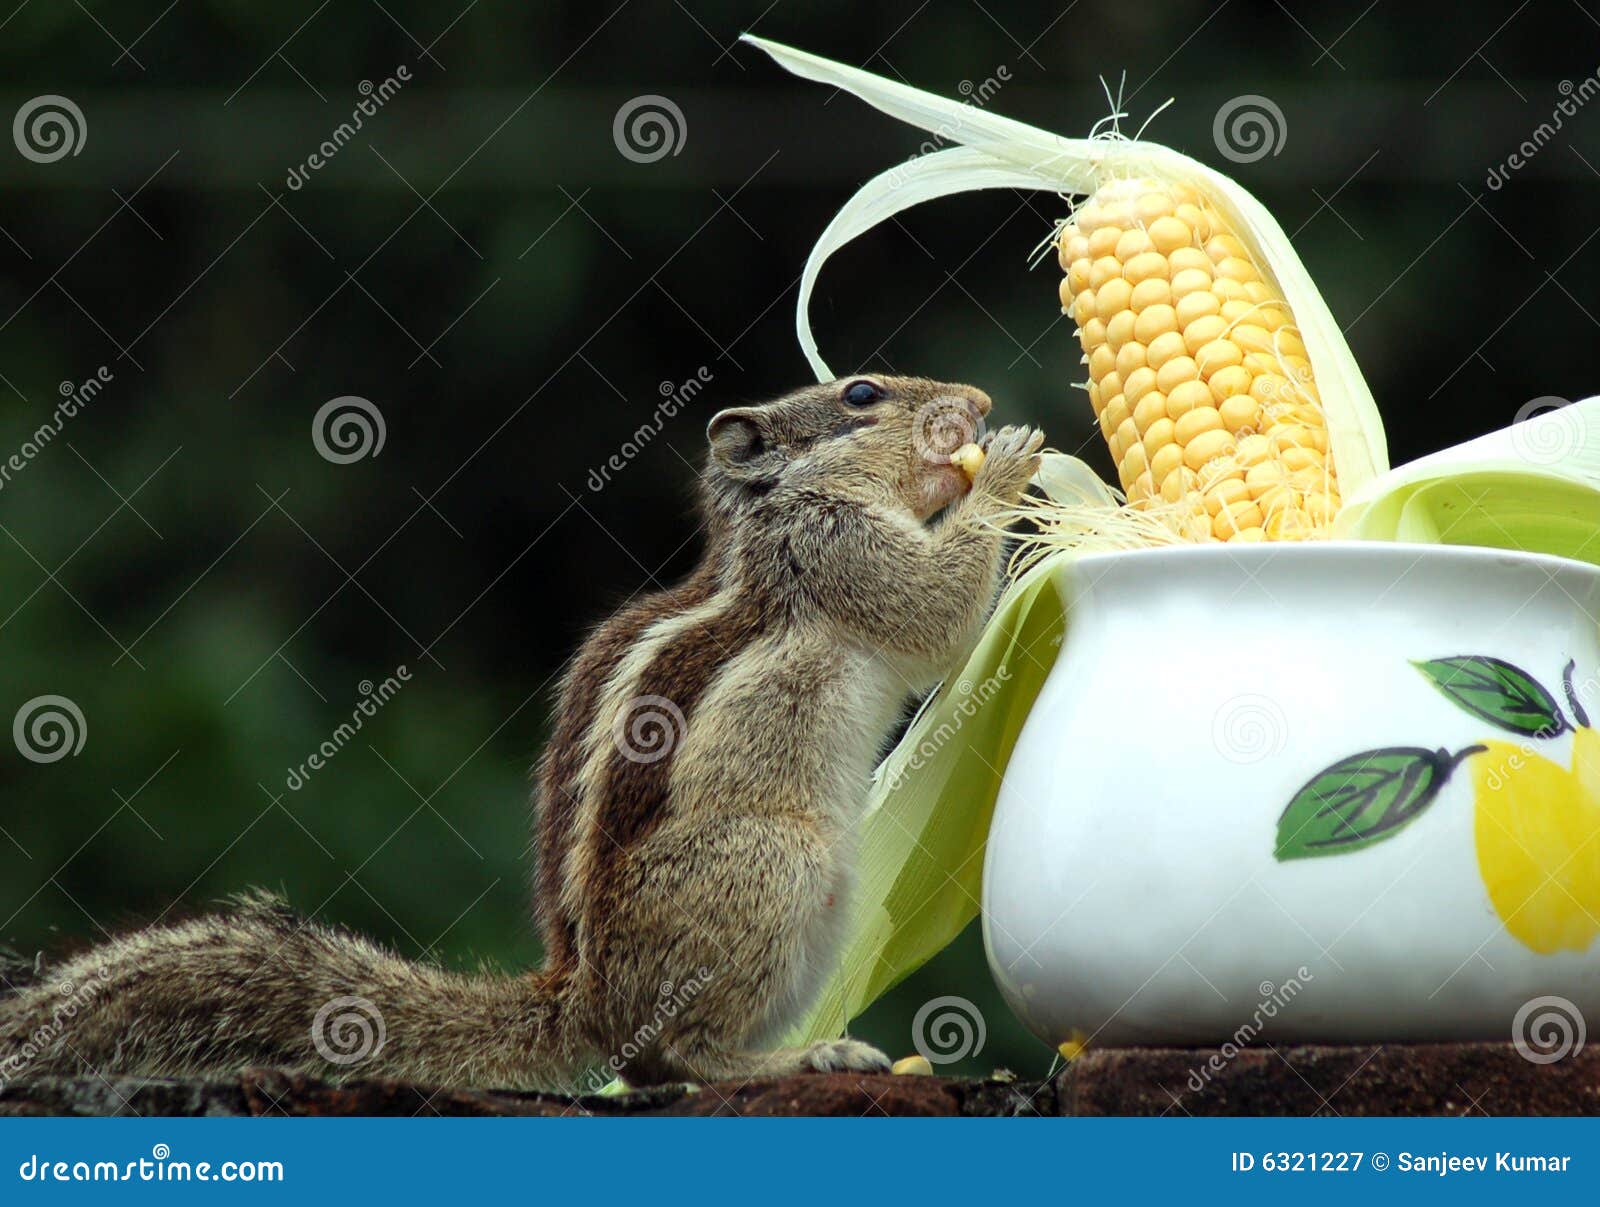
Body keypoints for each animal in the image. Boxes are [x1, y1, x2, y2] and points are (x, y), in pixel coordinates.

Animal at [0, 375, 1041, 1091]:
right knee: (676, 1056)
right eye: (860, 393)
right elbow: (934, 610)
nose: (978, 400)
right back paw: (801, 1056)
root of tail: (584, 997)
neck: (775, 513)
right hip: (776, 862)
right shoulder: (836, 550)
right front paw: (1009, 461)